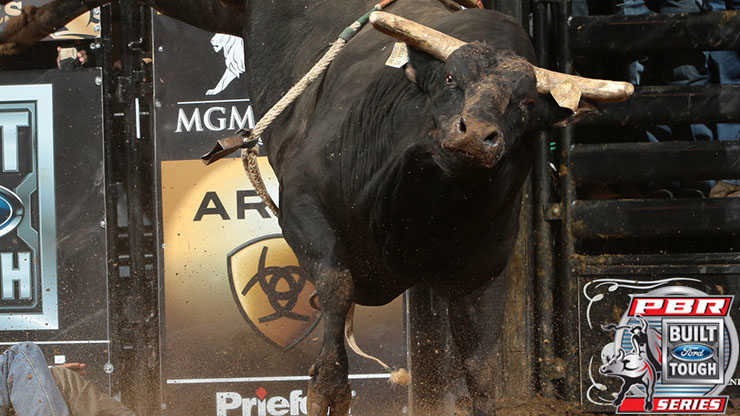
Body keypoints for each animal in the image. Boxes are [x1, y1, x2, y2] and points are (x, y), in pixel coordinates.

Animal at [0, 1, 633, 414]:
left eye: (526, 103)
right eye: (452, 78)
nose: (474, 136)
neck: (423, 202)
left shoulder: (483, 271)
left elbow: (479, 368)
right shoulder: (302, 208)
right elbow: (334, 286)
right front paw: (328, 388)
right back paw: (18, 28)